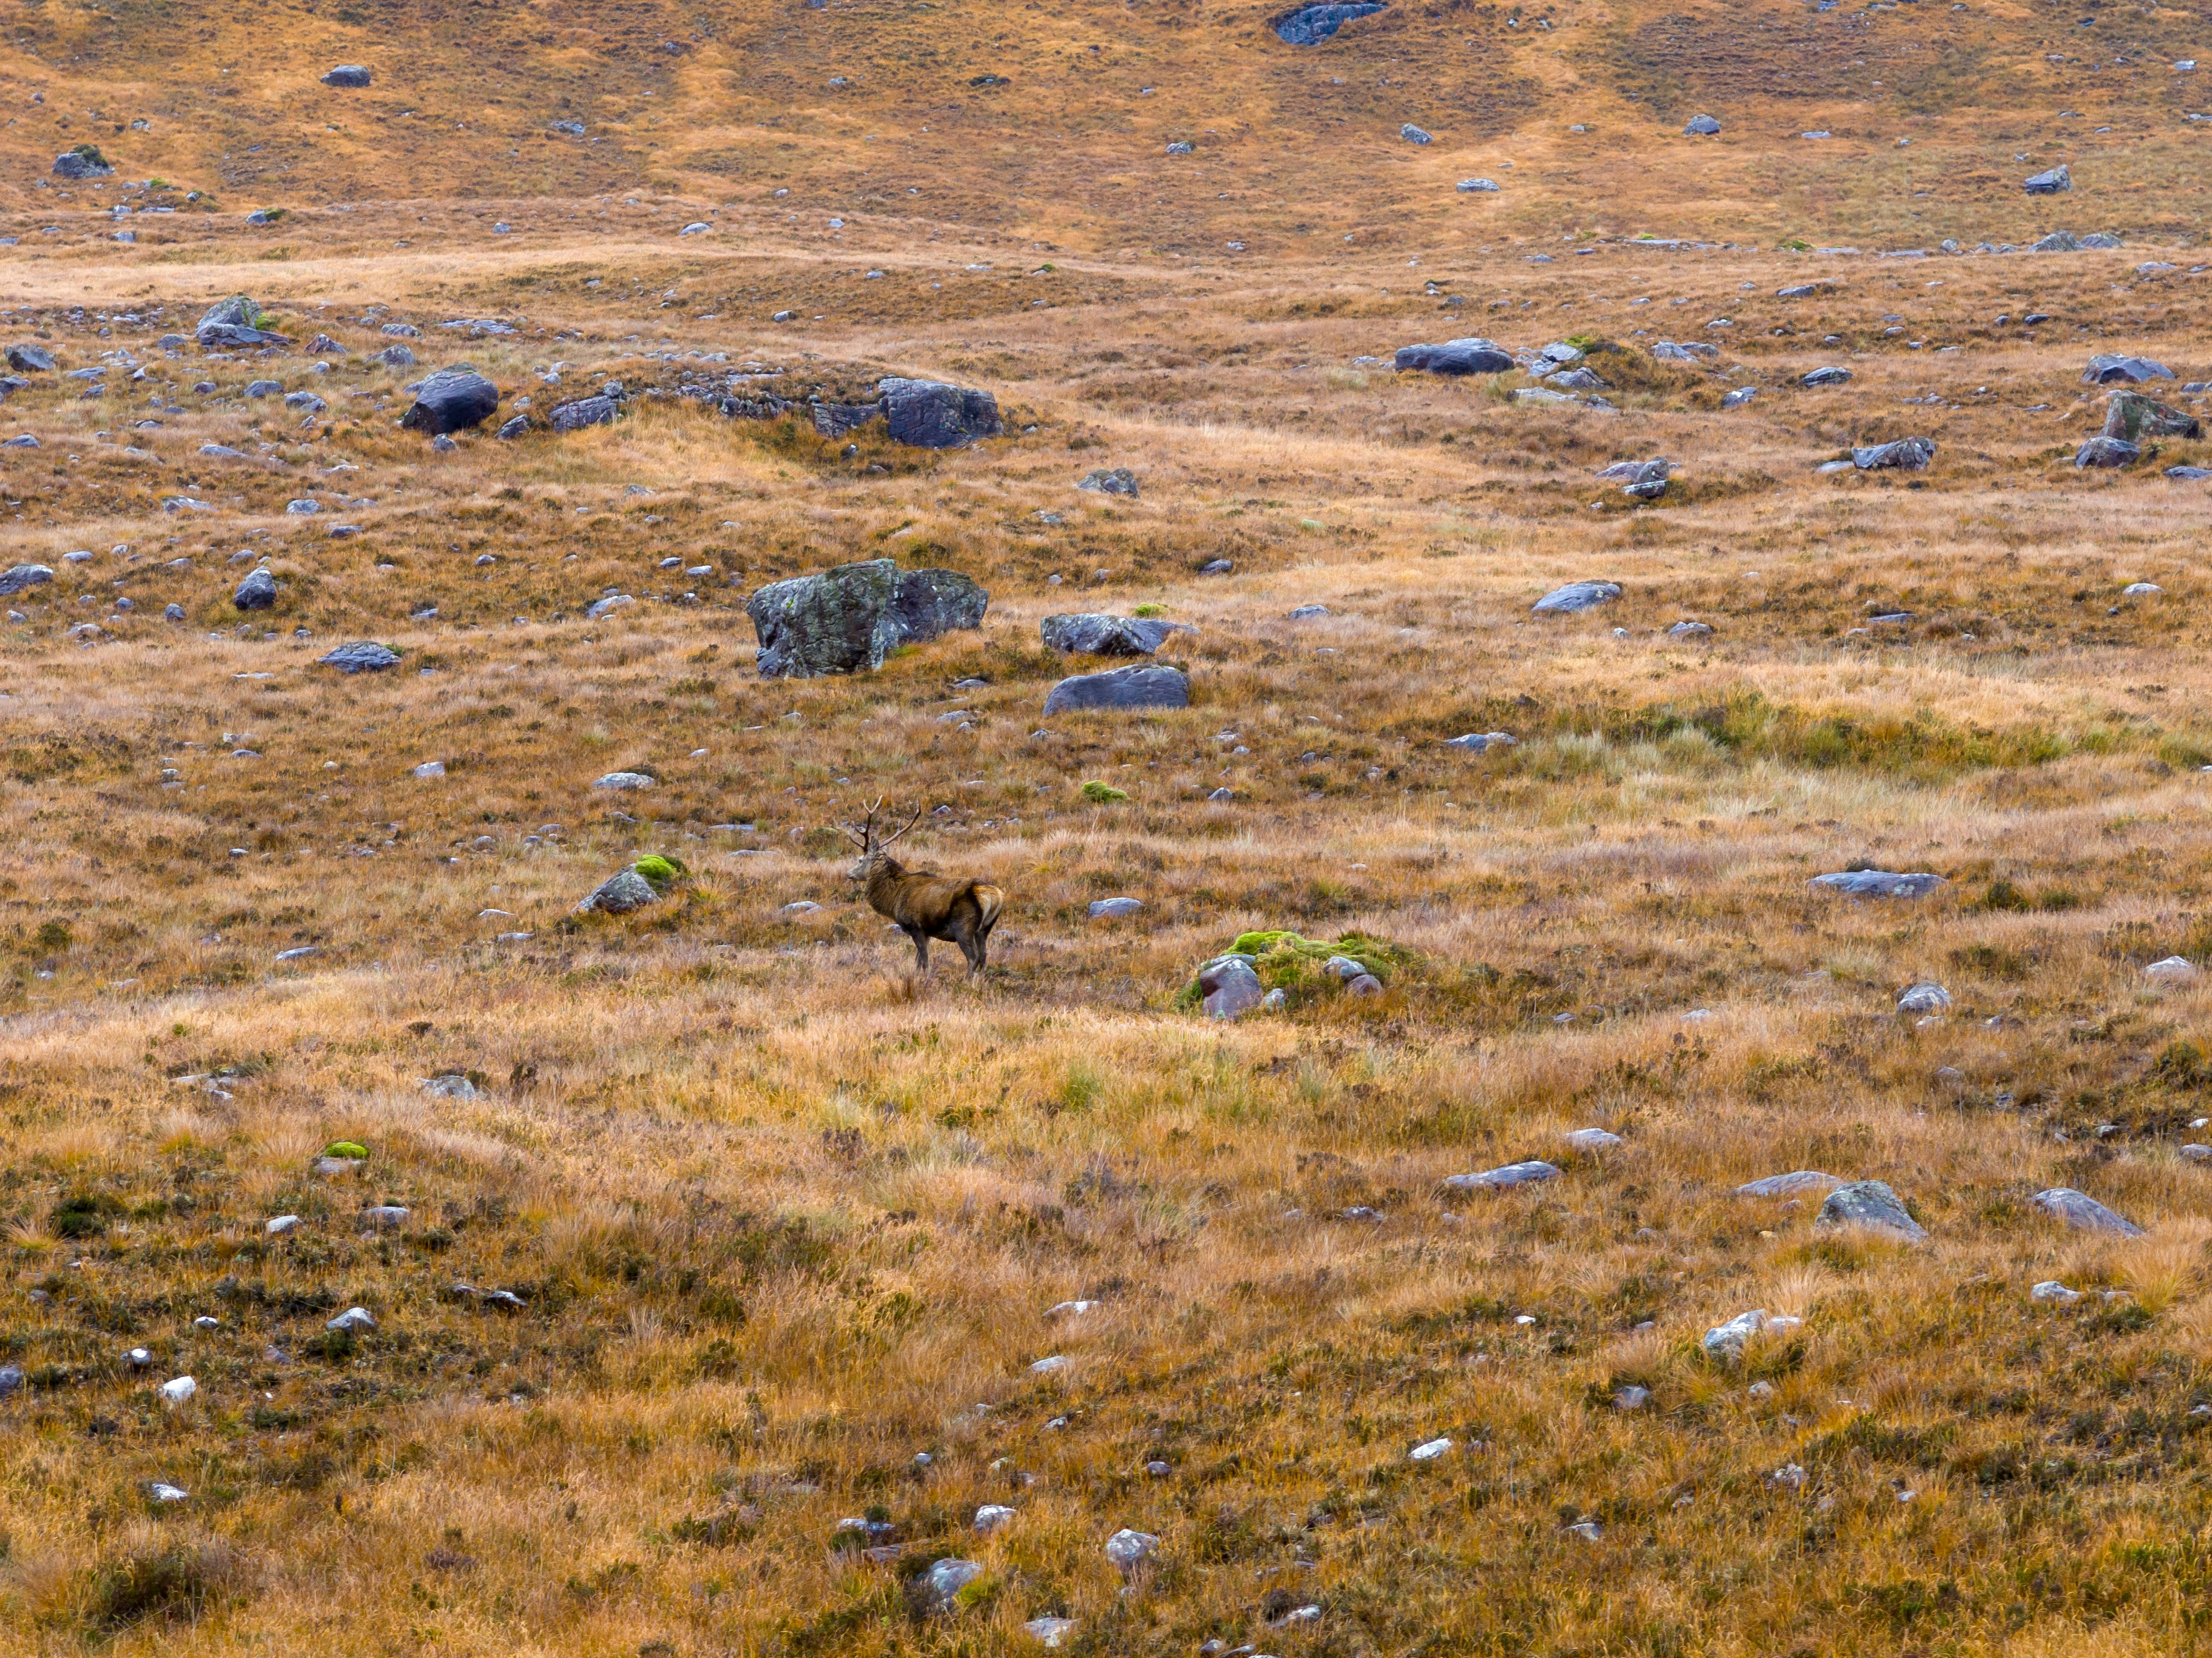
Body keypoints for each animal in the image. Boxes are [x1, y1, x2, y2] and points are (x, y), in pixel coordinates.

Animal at [842, 799, 1004, 977]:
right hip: (985, 928)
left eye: (860, 860)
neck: (894, 898)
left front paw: (925, 979)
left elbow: (925, 961)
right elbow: (918, 961)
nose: (848, 873)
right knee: (984, 956)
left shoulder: (915, 926)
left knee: (973, 957)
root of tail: (994, 896)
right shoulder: (927, 932)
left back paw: (965, 980)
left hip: (963, 926)